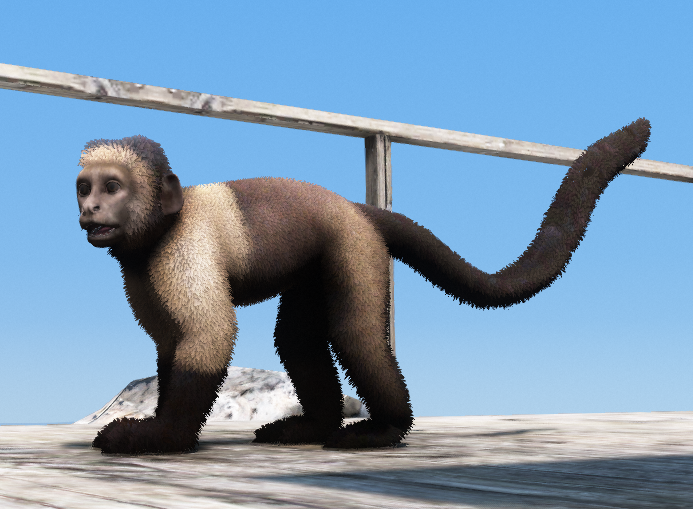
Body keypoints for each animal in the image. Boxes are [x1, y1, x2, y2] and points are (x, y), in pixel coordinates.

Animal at [75, 118, 650, 454]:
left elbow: (207, 337)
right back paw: (314, 427)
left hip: (351, 246)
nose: (91, 208)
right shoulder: (142, 268)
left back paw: (384, 430)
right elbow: (170, 344)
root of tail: (356, 208)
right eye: (85, 187)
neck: (157, 232)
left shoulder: (183, 251)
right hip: (316, 262)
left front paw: (161, 437)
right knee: (299, 339)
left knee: (356, 335)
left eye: (113, 186)